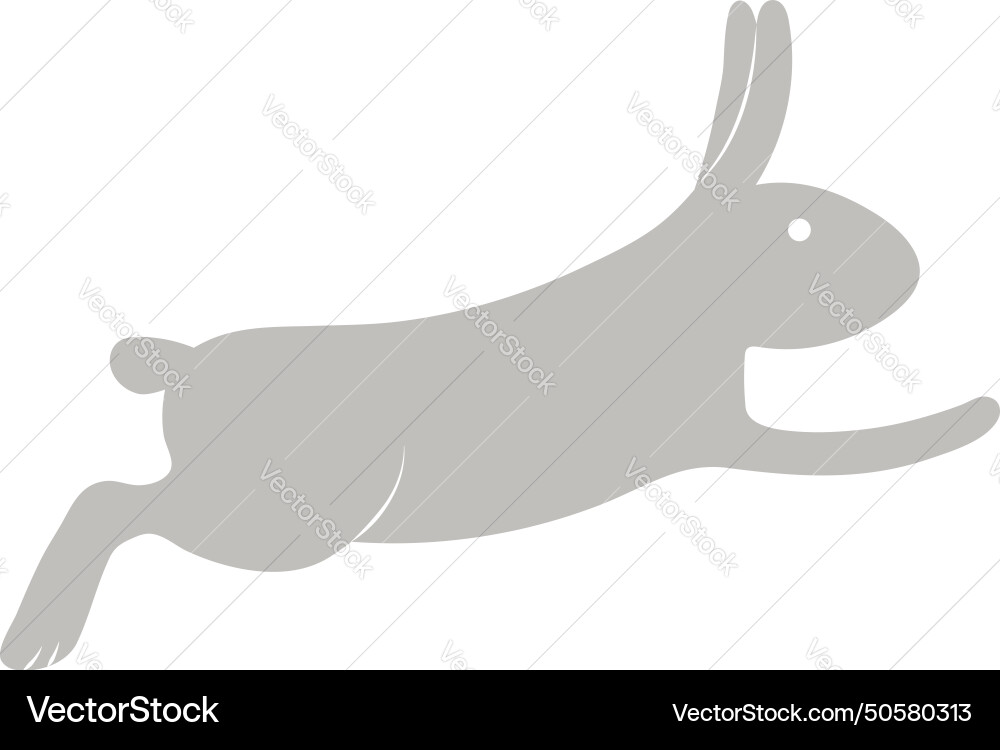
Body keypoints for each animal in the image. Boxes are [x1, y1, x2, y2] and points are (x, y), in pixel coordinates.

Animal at [4, 0, 997, 670]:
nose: (912, 268)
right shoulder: (725, 437)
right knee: (108, 501)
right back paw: (41, 640)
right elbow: (854, 447)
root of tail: (184, 372)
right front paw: (977, 416)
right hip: (286, 517)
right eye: (800, 231)